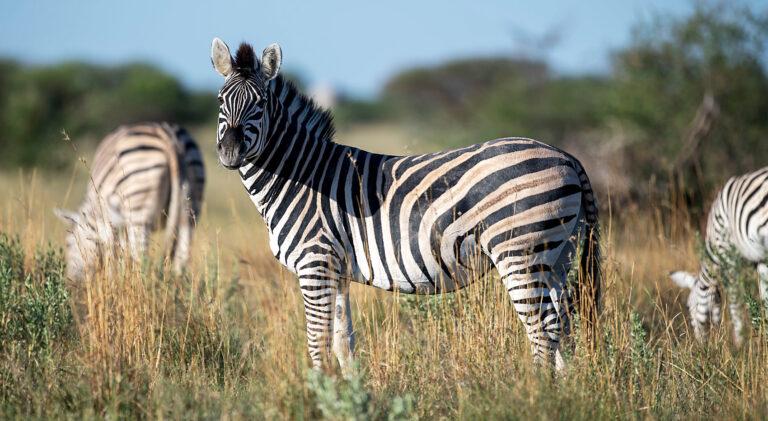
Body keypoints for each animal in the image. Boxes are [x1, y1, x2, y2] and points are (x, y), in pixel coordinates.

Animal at [54, 122, 205, 280]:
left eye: (68, 244)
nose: (71, 282)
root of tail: (169, 138)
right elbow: (122, 257)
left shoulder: (109, 222)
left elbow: (113, 257)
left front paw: (113, 281)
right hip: (191, 212)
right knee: (182, 257)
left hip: (139, 211)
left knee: (142, 259)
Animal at [210, 38, 601, 372]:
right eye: (219, 101)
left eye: (260, 103)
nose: (229, 153)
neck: (299, 175)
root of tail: (564, 155)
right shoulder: (336, 270)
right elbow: (343, 343)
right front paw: (350, 397)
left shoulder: (315, 263)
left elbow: (316, 343)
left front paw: (318, 397)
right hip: (558, 253)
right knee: (563, 325)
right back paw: (561, 394)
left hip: (520, 251)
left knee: (541, 330)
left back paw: (536, 393)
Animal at [670, 167, 768, 345]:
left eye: (688, 307)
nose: (700, 347)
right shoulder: (763, 260)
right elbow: (765, 298)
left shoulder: (727, 256)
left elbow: (735, 301)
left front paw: (740, 342)